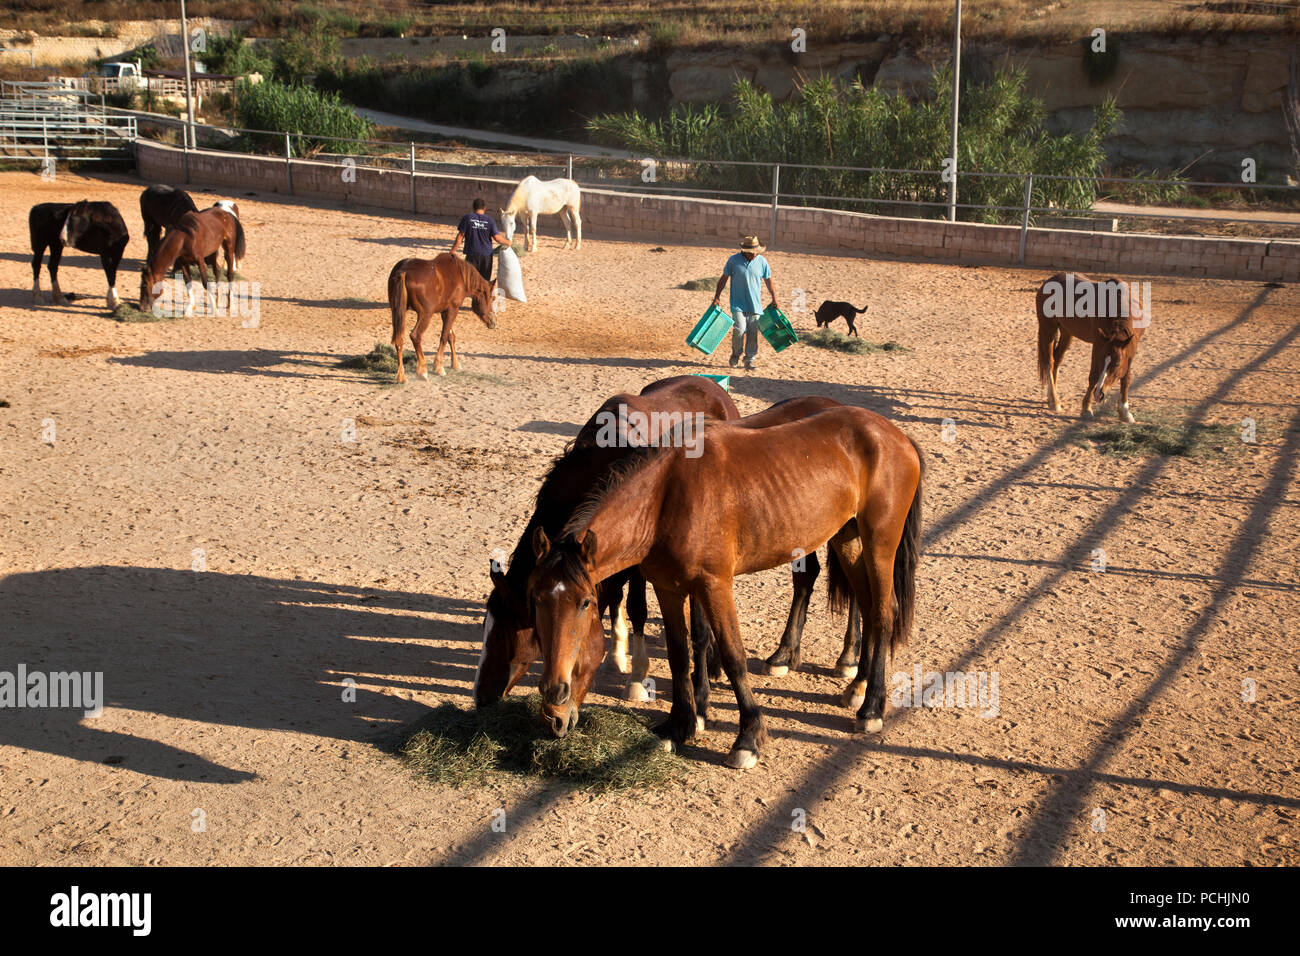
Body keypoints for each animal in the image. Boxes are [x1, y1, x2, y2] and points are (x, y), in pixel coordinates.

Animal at [529, 406, 923, 770]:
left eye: (585, 603)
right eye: (537, 600)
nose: (554, 703)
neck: (664, 498)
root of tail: (894, 434)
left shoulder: (714, 584)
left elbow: (733, 657)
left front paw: (748, 738)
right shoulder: (668, 588)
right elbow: (679, 654)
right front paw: (678, 727)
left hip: (879, 541)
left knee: (884, 612)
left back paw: (872, 707)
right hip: (847, 538)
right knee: (868, 607)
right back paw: (857, 688)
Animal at [1036, 272, 1148, 423]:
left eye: (1117, 363)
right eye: (1101, 361)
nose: (1099, 394)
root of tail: (1048, 282)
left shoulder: (1131, 350)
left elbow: (1126, 378)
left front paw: (1125, 411)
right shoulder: (1098, 345)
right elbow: (1093, 376)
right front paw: (1086, 408)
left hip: (1067, 333)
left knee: (1057, 360)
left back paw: (1050, 399)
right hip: (1048, 328)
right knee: (1050, 362)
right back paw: (1054, 402)